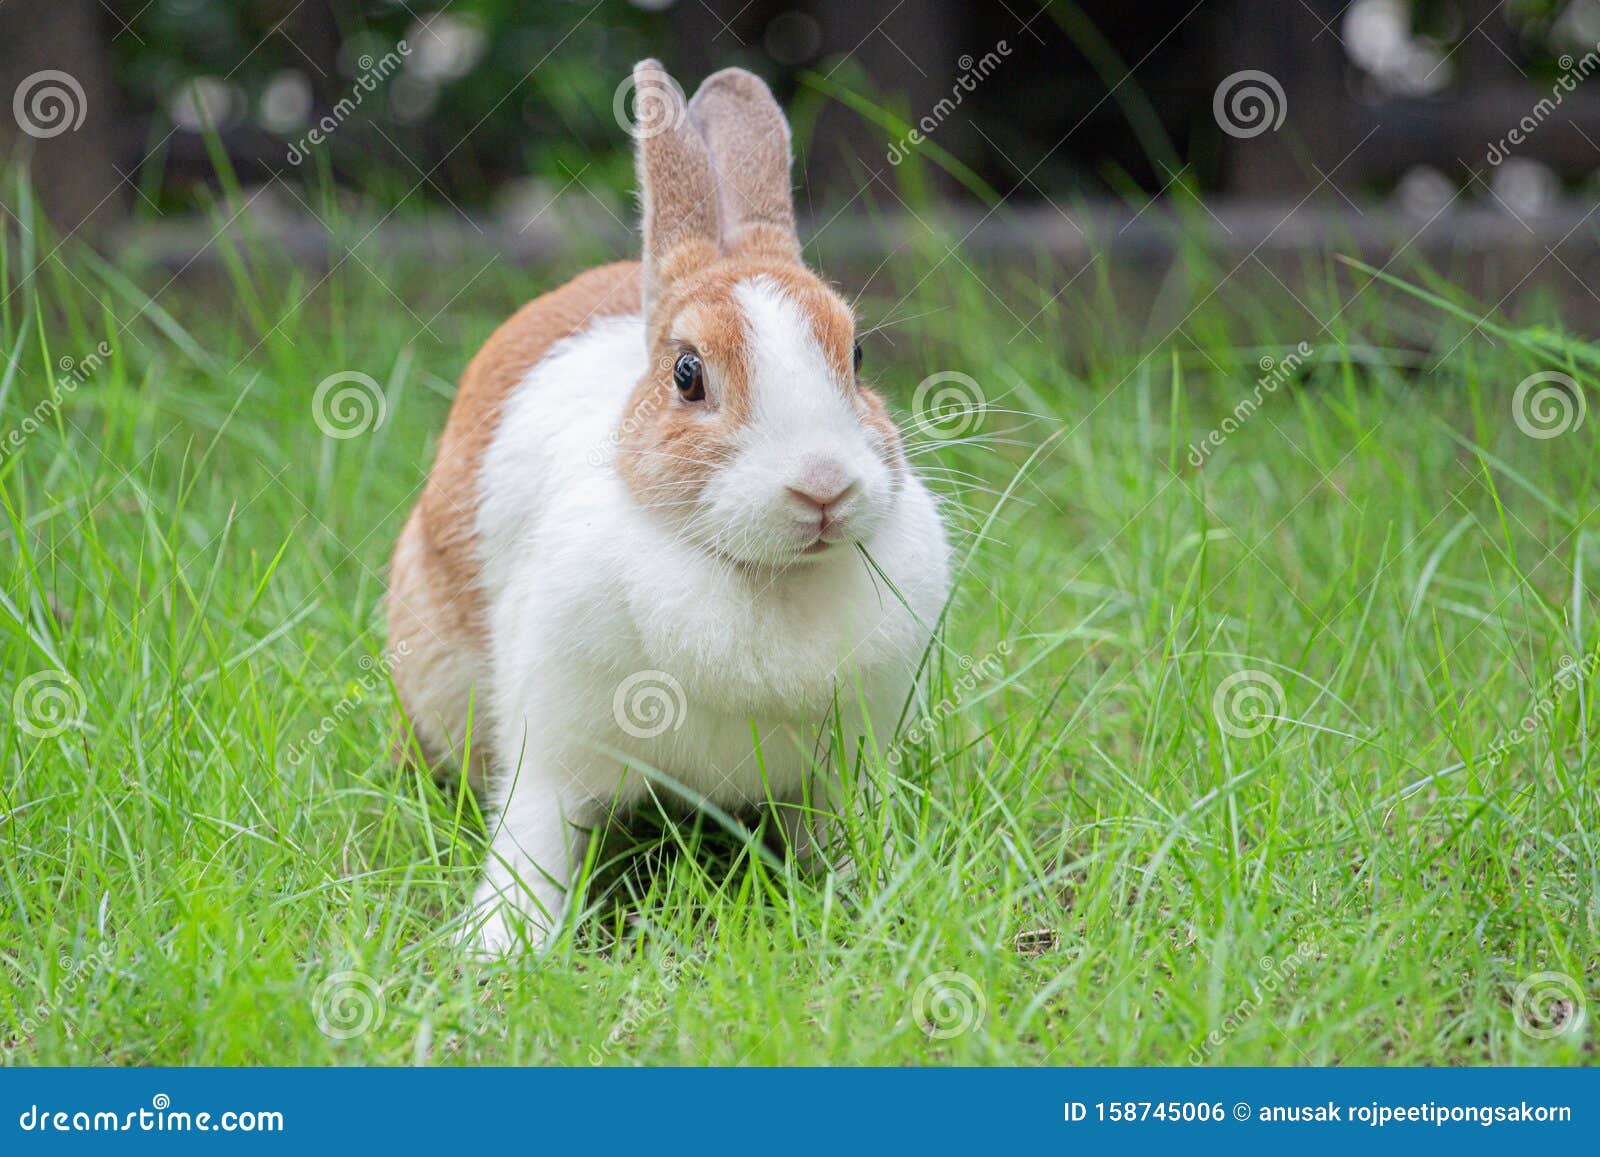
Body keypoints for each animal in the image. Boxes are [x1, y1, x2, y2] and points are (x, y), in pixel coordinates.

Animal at [386, 60, 951, 955]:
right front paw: (498, 946)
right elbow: (534, 839)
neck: (759, 573)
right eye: (687, 375)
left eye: (857, 355)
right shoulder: (552, 747)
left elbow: (847, 832)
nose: (823, 485)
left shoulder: (850, 759)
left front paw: (878, 899)